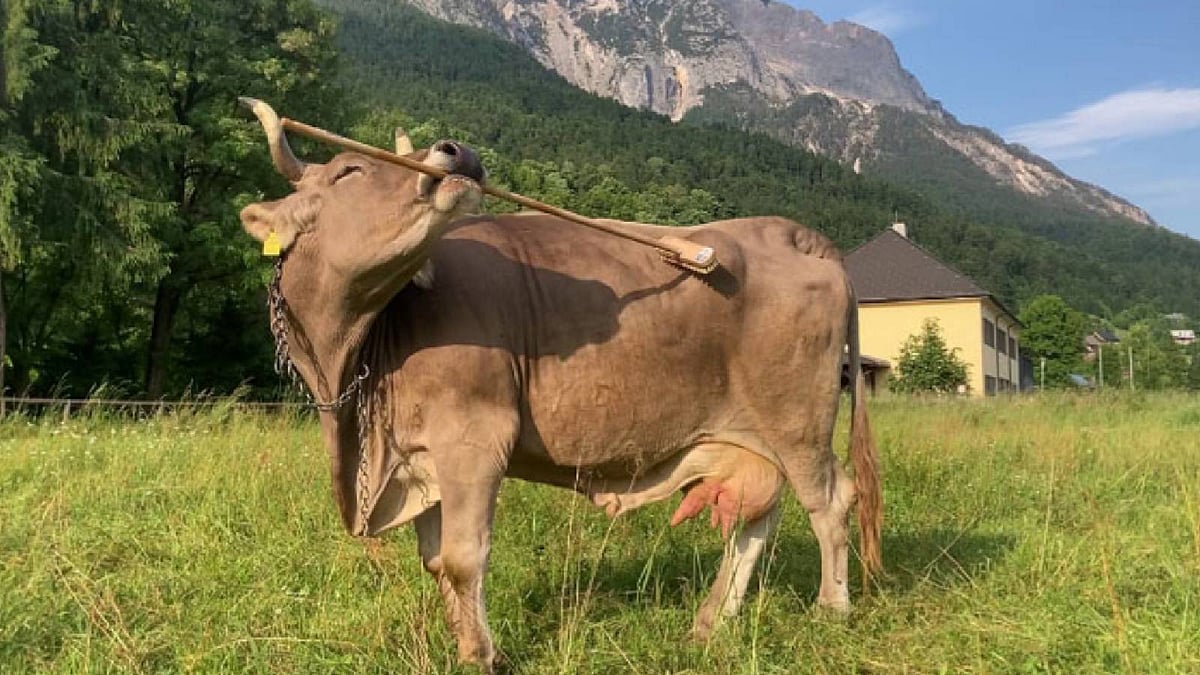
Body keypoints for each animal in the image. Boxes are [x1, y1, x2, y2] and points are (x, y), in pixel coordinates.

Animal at [238, 98, 881, 673]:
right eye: (348, 171)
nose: (457, 151)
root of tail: (789, 232)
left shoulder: (474, 439)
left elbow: (464, 558)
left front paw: (483, 657)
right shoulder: (417, 456)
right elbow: (435, 561)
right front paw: (462, 645)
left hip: (797, 421)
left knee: (829, 501)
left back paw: (831, 610)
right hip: (752, 436)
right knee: (757, 516)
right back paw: (710, 622)